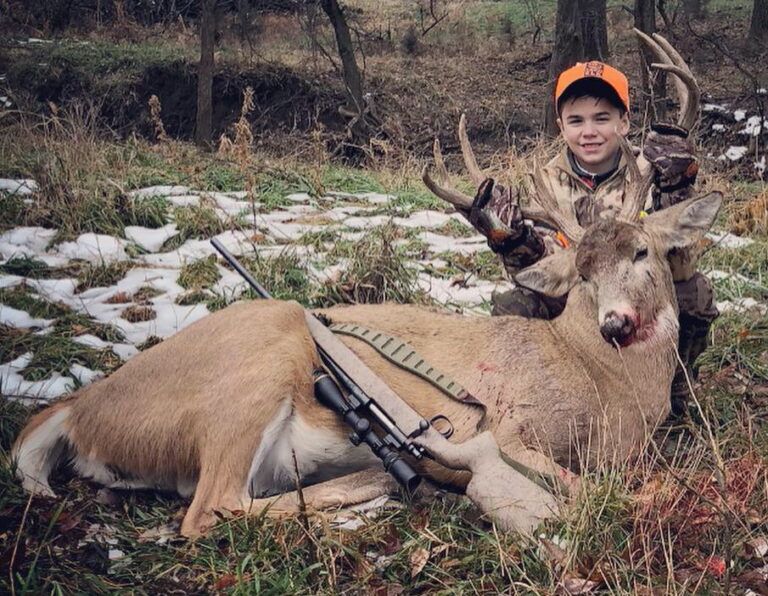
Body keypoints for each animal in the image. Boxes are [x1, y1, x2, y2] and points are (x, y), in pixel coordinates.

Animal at [12, 32, 721, 537]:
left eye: (642, 250)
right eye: (581, 275)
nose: (615, 323)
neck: (605, 384)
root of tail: (79, 407)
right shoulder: (509, 425)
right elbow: (580, 487)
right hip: (252, 373)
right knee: (210, 509)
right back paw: (373, 493)